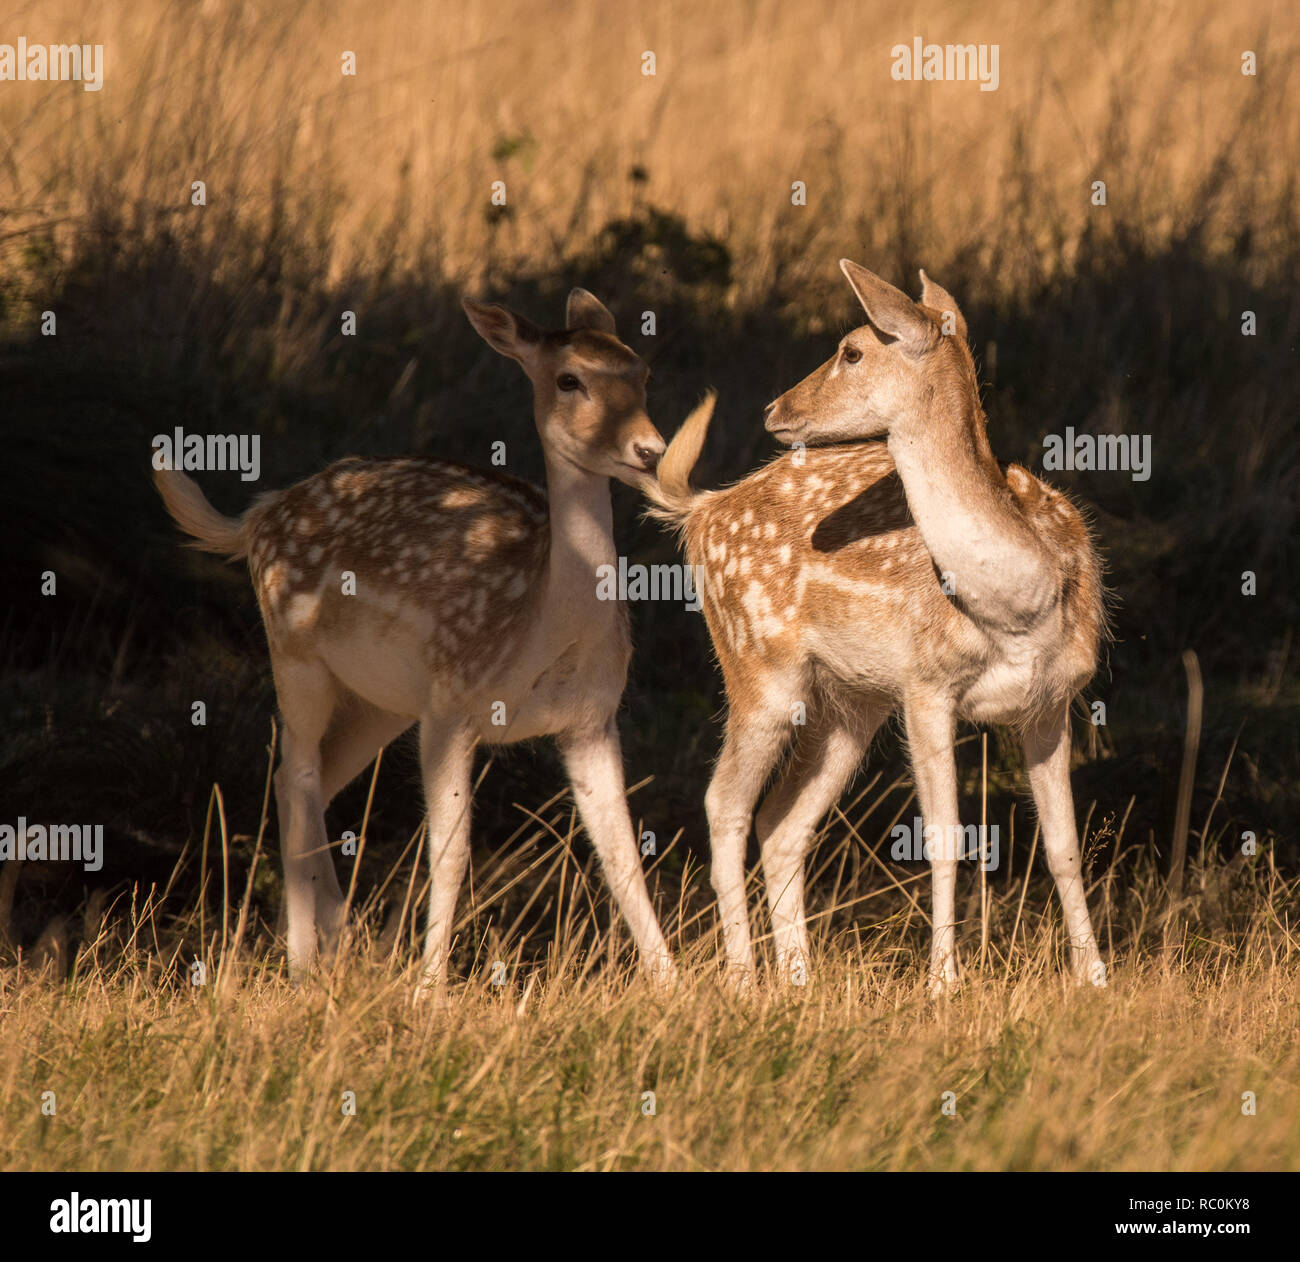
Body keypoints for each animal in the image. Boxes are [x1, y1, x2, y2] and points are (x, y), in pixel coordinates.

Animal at [155, 289, 679, 988]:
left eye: (642, 372)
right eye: (571, 379)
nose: (650, 450)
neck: (540, 634)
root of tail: (256, 516)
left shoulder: (591, 719)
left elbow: (622, 855)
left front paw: (674, 984)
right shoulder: (452, 706)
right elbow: (450, 853)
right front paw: (430, 989)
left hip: (381, 704)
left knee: (306, 777)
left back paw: (334, 937)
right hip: (295, 655)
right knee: (295, 771)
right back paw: (304, 959)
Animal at [646, 260, 1108, 996]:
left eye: (852, 350)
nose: (774, 408)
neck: (1019, 606)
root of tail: (704, 508)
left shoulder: (1053, 699)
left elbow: (1062, 843)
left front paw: (1095, 977)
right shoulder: (926, 685)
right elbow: (945, 837)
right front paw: (943, 982)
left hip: (851, 706)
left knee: (780, 822)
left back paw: (799, 980)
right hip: (757, 666)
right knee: (724, 803)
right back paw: (743, 979)